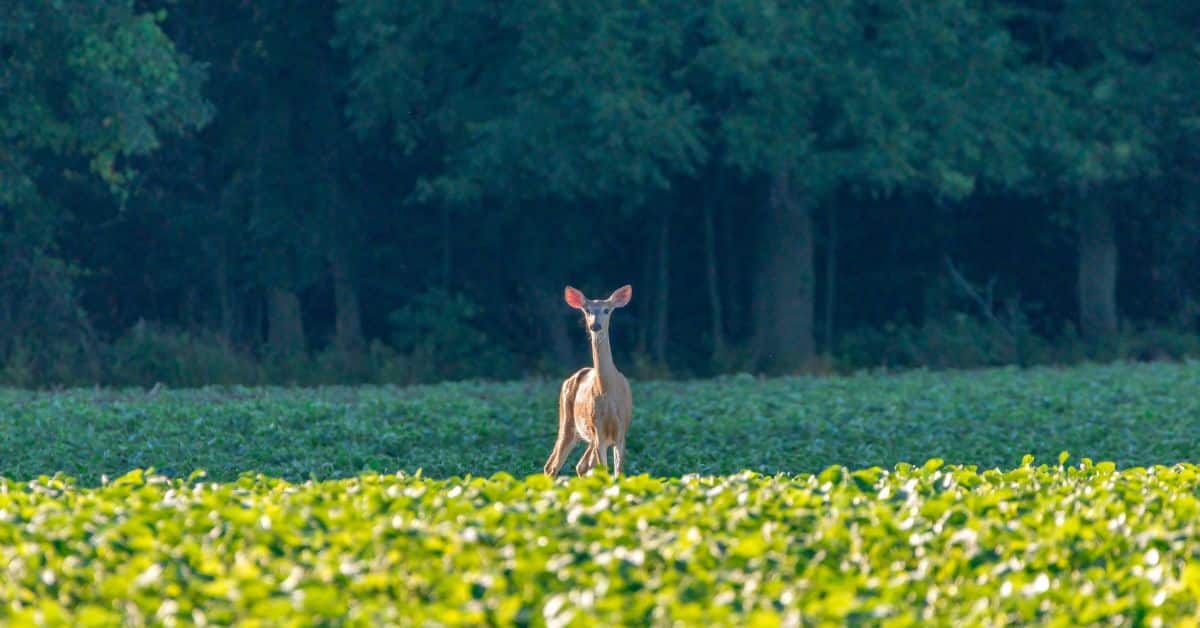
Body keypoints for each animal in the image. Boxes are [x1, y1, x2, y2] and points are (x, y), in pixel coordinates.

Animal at [543, 284, 634, 478]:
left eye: (607, 310)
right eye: (587, 310)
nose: (595, 325)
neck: (608, 392)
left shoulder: (621, 431)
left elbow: (618, 473)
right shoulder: (599, 431)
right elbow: (605, 471)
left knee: (581, 465)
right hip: (568, 421)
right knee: (552, 465)